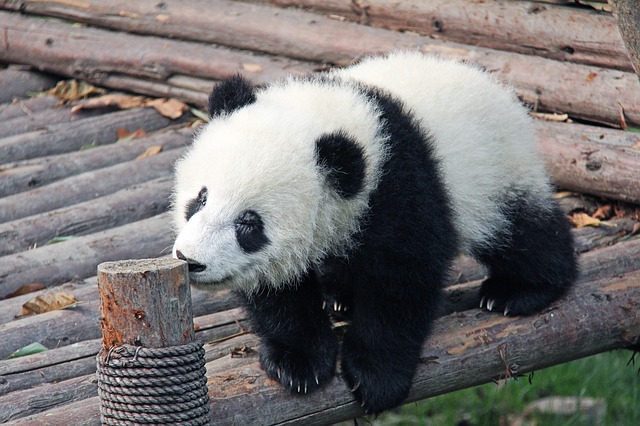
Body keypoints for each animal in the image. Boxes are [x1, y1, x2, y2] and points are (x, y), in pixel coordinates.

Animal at [172, 51, 578, 414]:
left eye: (249, 224)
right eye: (201, 198)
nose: (190, 260)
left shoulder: (399, 186)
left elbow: (402, 280)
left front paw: (376, 378)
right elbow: (279, 290)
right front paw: (298, 362)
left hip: (494, 170)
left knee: (520, 231)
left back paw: (518, 291)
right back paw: (340, 296)